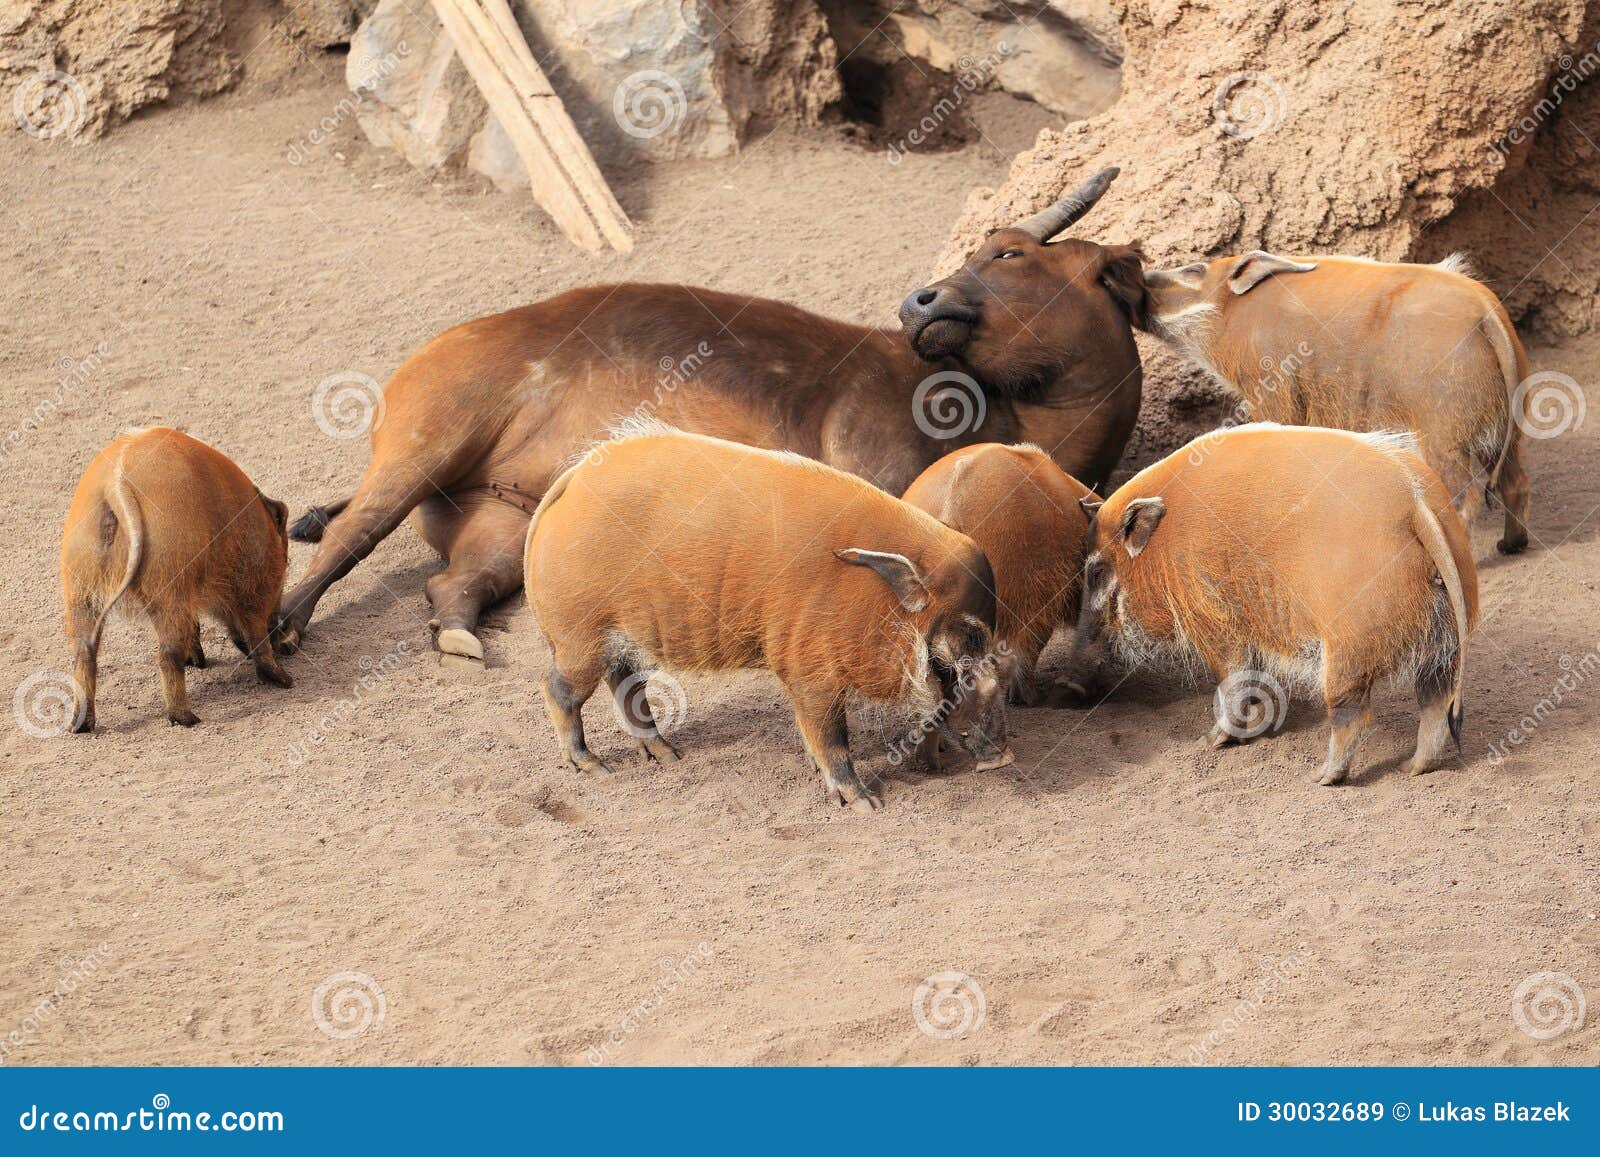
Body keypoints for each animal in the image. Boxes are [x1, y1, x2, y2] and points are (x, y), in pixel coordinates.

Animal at [60, 427, 292, 731]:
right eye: (286, 562)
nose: (286, 646)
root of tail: (115, 485)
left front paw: (199, 661)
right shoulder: (252, 584)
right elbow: (255, 631)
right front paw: (284, 679)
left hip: (80, 593)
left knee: (84, 655)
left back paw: (80, 726)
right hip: (168, 585)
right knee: (167, 654)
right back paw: (187, 718)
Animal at [523, 423, 1014, 811]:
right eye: (963, 643)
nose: (1005, 759)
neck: (873, 597)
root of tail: (568, 483)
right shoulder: (808, 670)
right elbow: (830, 735)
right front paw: (864, 803)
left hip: (618, 638)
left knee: (625, 685)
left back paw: (669, 755)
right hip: (579, 638)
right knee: (557, 689)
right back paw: (594, 766)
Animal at [1064, 423, 1477, 785]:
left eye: (1096, 571)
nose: (1070, 686)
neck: (1165, 540)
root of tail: (1415, 504)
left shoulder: (1215, 619)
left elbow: (1232, 680)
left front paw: (1210, 741)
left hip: (1348, 650)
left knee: (1352, 714)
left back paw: (1322, 777)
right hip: (1445, 643)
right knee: (1436, 703)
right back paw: (1414, 768)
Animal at [1140, 251, 1531, 554]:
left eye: (1194, 270)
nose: (1140, 276)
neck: (1235, 314)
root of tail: (1485, 310)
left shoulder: (1272, 390)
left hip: (1443, 434)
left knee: (1468, 498)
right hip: (1502, 428)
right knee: (1514, 479)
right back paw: (1510, 545)